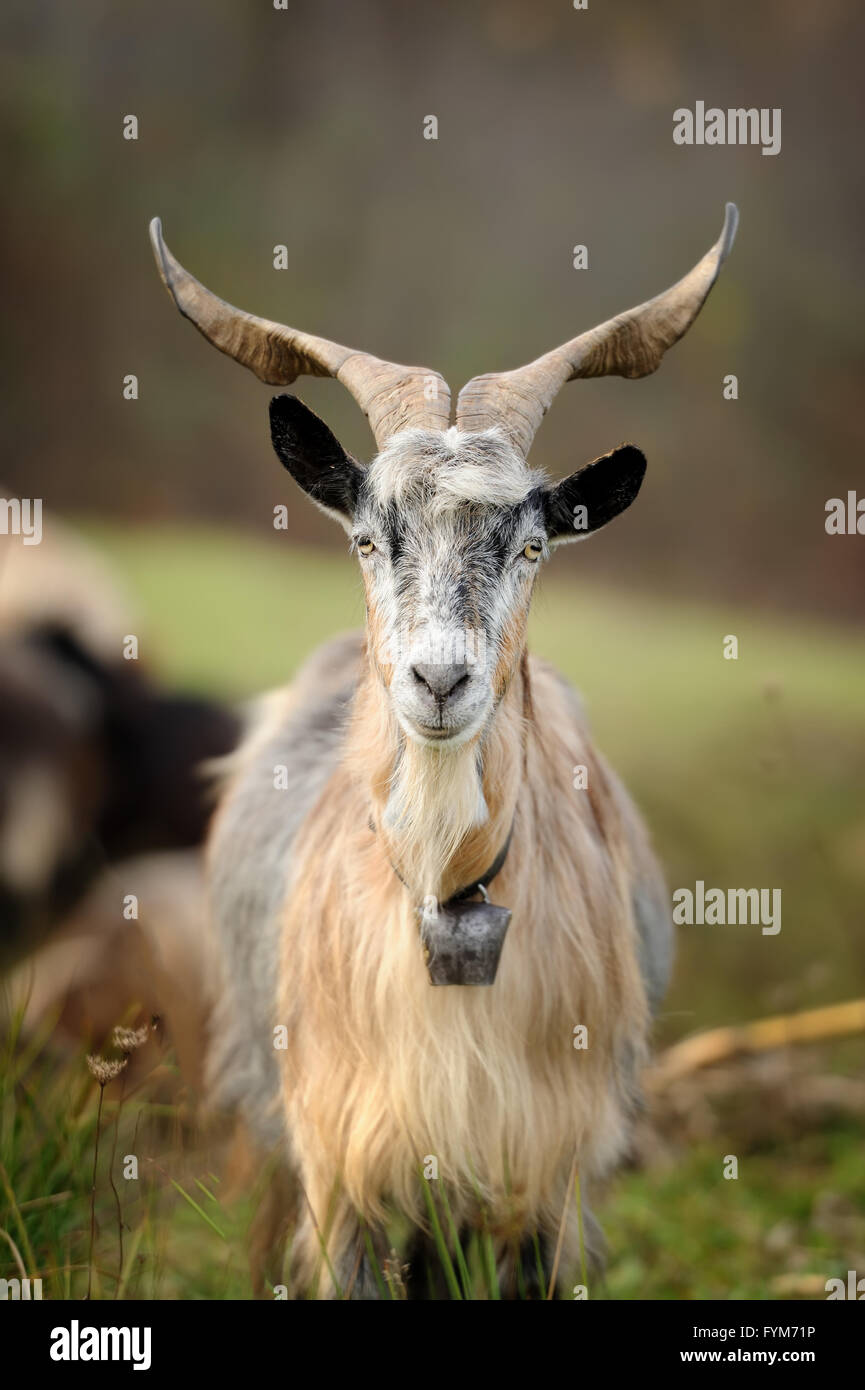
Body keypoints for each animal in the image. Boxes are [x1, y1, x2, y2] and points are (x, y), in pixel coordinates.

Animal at [151, 203, 738, 1297]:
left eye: (532, 546)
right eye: (367, 539)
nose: (437, 681)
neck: (444, 893)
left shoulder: (548, 1174)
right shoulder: (341, 1164)